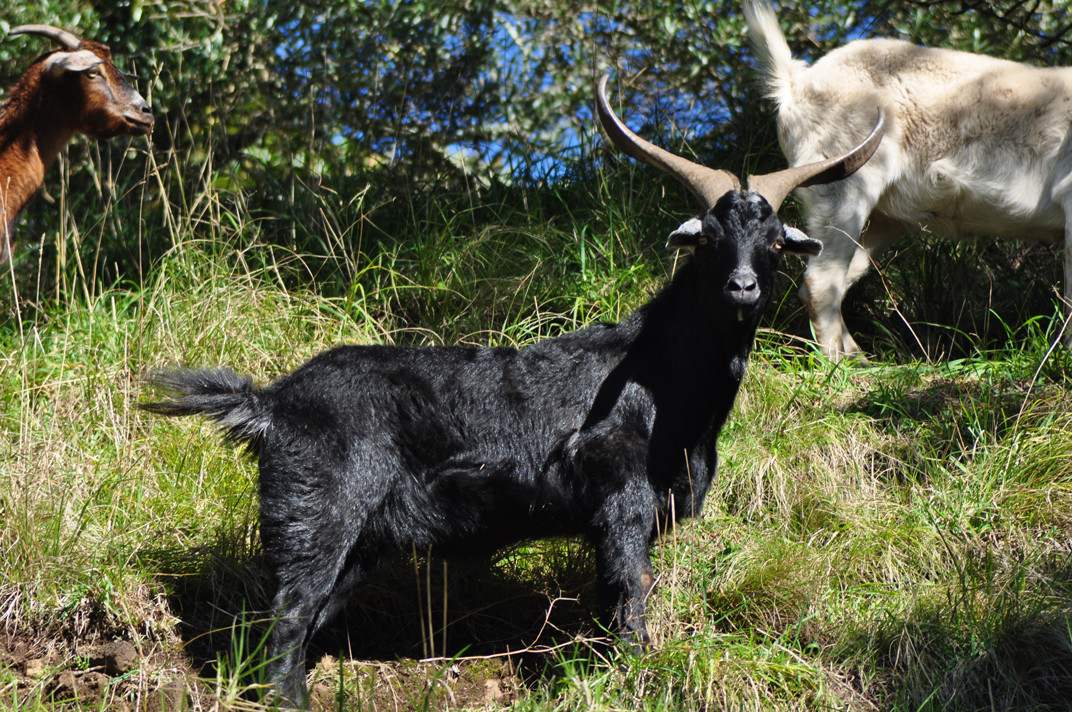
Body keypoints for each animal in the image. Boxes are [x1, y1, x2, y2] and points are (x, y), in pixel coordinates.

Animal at [140, 76, 883, 707]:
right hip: (317, 515)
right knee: (285, 625)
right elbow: (630, 605)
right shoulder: (620, 501)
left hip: (357, 542)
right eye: (708, 240)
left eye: (775, 242)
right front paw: (637, 677)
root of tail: (270, 404)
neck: (663, 382)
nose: (742, 288)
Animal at [743, 0, 1072, 359]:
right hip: (842, 182)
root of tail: (794, 83)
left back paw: (859, 359)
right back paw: (837, 365)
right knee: (820, 282)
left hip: (879, 219)